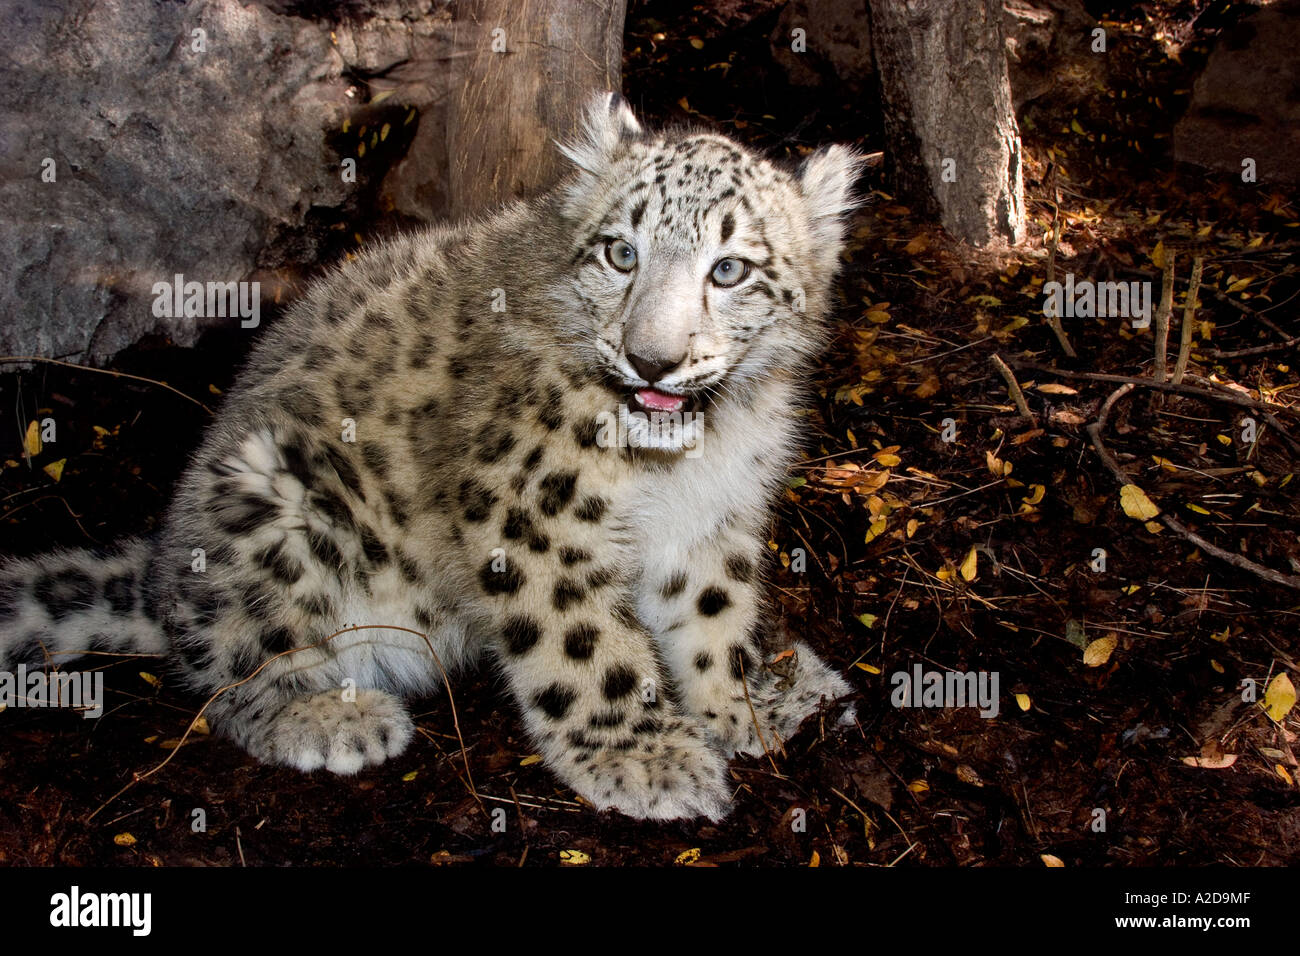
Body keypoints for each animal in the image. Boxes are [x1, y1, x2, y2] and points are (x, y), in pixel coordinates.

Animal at [0, 92, 863, 821]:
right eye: (621, 253)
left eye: (730, 269)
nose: (652, 361)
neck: (691, 458)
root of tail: (160, 569)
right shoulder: (532, 515)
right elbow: (585, 644)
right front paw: (646, 758)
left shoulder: (715, 519)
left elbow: (715, 610)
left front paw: (752, 700)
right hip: (270, 497)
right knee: (228, 665)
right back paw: (327, 713)